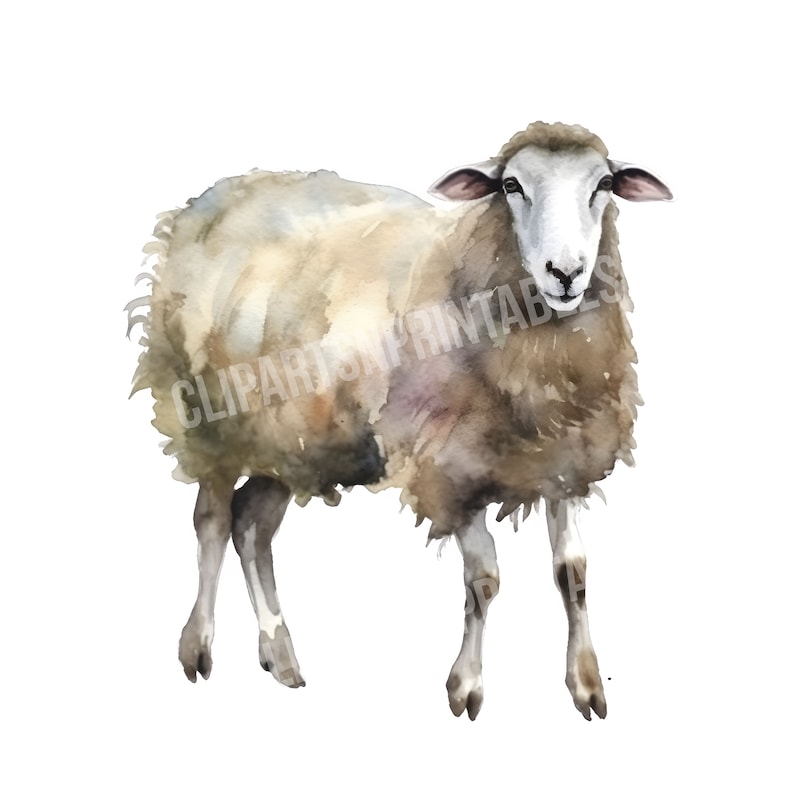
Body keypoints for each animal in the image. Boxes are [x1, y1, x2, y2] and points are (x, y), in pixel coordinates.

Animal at [128, 121, 672, 720]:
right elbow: (484, 580)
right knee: (212, 521)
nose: (566, 273)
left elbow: (572, 574)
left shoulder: (559, 462)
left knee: (251, 524)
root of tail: (209, 198)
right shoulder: (451, 471)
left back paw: (280, 654)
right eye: (510, 185)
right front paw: (466, 686)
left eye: (603, 184)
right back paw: (197, 648)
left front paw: (587, 685)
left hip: (297, 441)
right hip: (212, 421)